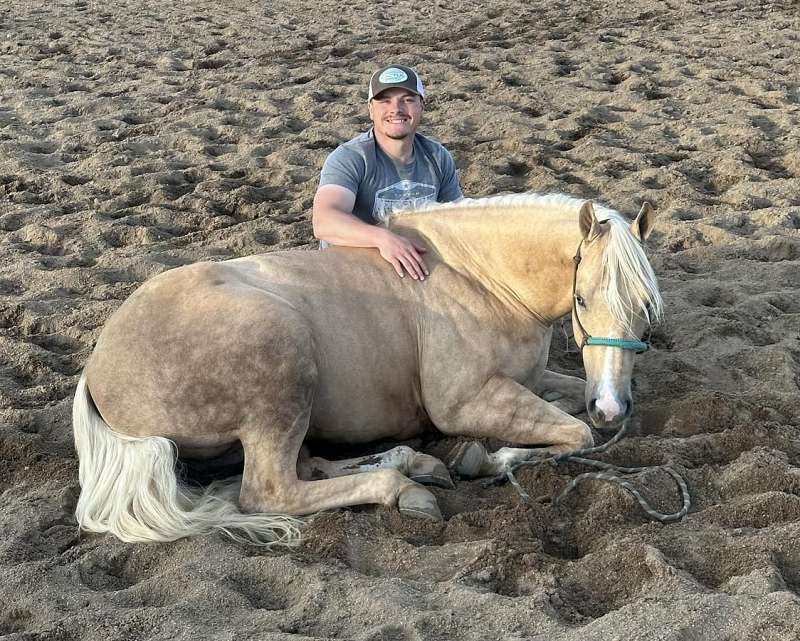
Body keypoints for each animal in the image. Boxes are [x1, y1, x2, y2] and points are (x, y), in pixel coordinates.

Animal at [72, 192, 663, 546]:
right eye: (583, 299)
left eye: (645, 307)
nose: (613, 407)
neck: (479, 279)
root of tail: (97, 368)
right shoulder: (467, 403)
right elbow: (576, 434)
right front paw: (488, 459)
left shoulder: (532, 383)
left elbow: (572, 406)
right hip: (283, 377)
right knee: (270, 491)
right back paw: (405, 488)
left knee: (309, 466)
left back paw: (415, 465)